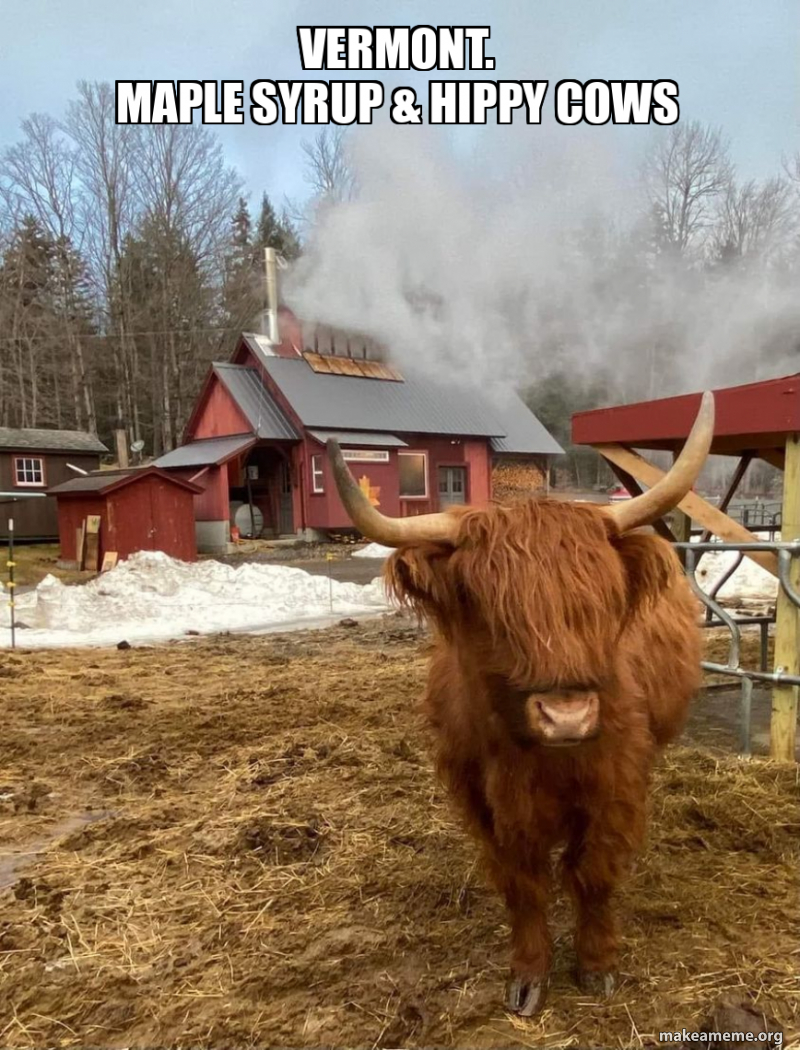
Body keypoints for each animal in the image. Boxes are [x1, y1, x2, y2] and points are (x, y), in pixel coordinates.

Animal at [326, 392, 713, 1016]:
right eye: (488, 608)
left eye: (602, 602)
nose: (567, 716)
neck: (536, 759)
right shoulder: (486, 804)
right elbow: (523, 885)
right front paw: (530, 975)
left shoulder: (615, 784)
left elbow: (594, 874)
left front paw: (596, 965)